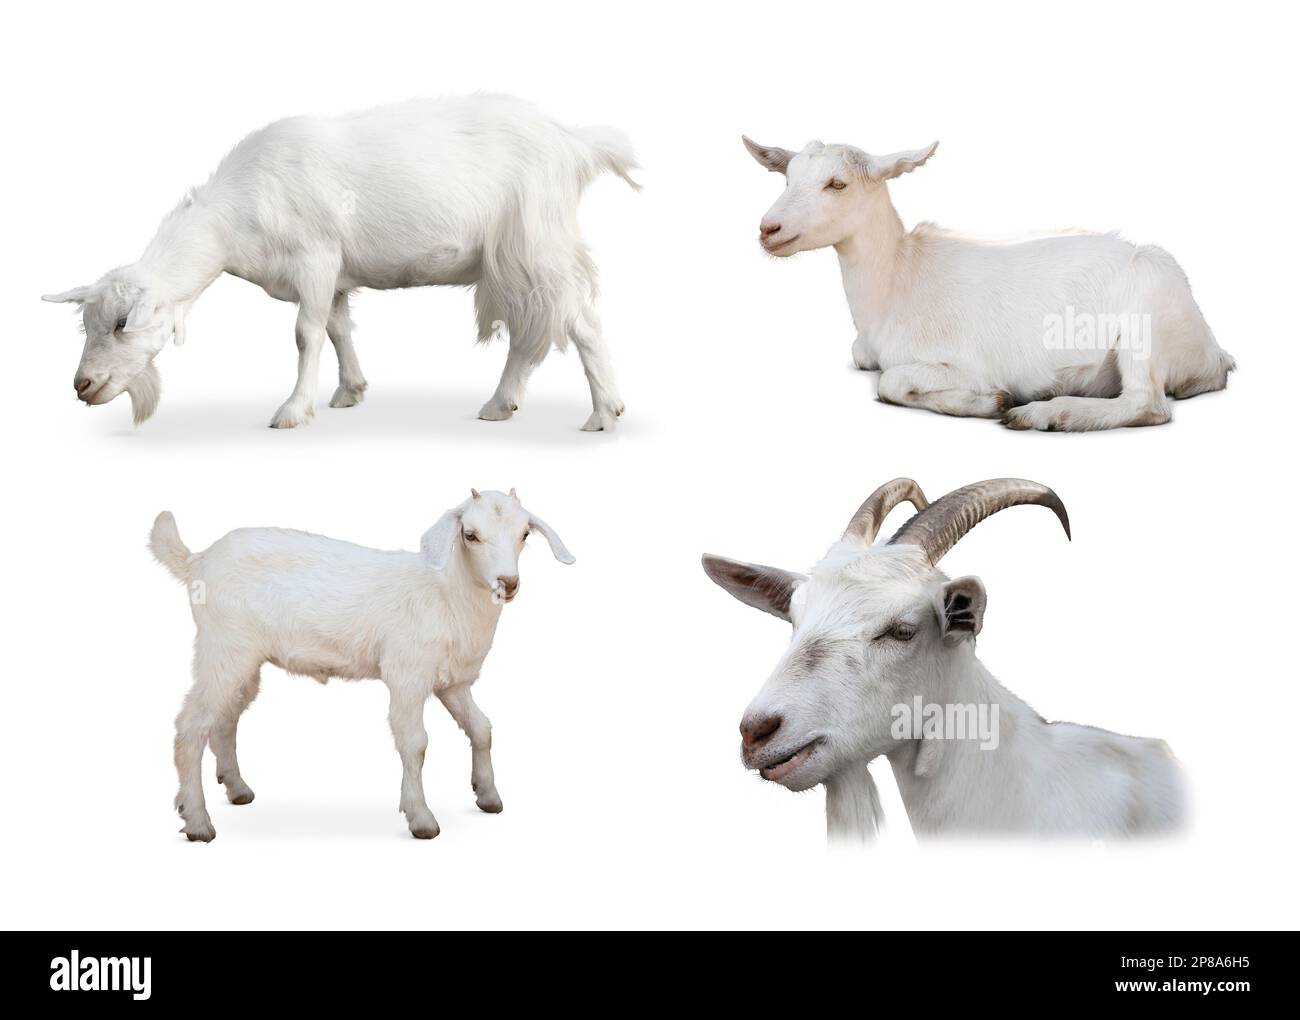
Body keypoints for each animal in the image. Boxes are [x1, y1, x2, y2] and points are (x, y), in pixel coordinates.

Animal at [45, 94, 639, 431]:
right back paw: (501, 405)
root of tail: (572, 142)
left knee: (580, 322)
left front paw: (292, 410)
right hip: (511, 259)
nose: (81, 385)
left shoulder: (315, 258)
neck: (235, 215)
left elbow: (305, 334)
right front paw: (350, 390)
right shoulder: (332, 276)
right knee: (528, 332)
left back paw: (603, 412)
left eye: (123, 323)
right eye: (88, 324)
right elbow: (337, 329)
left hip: (534, 245)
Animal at [149, 489, 575, 842]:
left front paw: (488, 795)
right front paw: (421, 818)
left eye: (525, 534)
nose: (508, 583)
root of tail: (198, 561)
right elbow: (415, 743)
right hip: (223, 647)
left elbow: (482, 728)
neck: (447, 595)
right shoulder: (407, 674)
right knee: (191, 726)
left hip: (243, 658)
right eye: (470, 535)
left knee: (225, 720)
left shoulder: (452, 682)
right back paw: (197, 821)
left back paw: (236, 789)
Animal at [744, 137, 1234, 431]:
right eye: (788, 179)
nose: (769, 228)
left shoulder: (967, 363)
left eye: (837, 184)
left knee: (1147, 402)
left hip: (1147, 309)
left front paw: (991, 402)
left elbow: (891, 382)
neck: (898, 277)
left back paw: (1042, 413)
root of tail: (1213, 351)